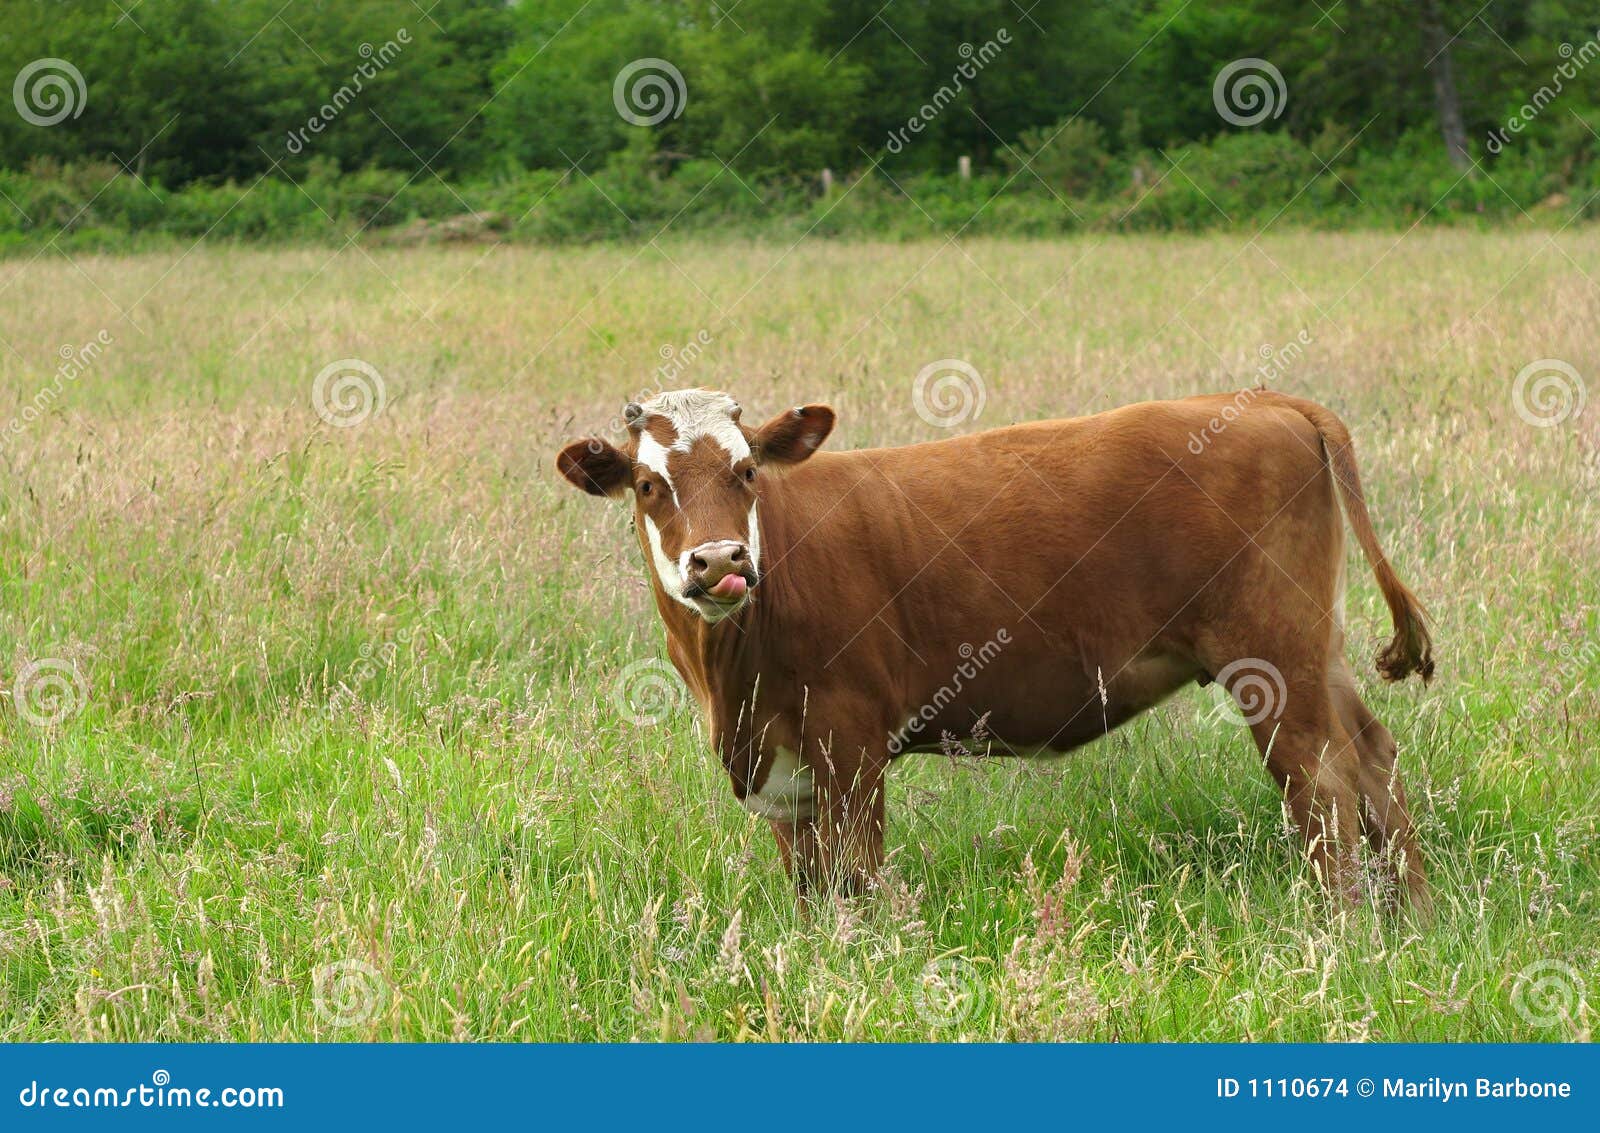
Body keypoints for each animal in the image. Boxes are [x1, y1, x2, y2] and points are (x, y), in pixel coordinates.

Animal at [557, 387, 1434, 910]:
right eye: (648, 485)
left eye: (745, 470)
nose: (719, 561)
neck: (728, 680)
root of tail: (1253, 399)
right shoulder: (779, 764)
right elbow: (810, 884)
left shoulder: (849, 738)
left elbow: (858, 872)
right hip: (1317, 647)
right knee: (1372, 755)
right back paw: (1414, 915)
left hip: (1272, 654)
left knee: (1321, 776)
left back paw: (1344, 928)